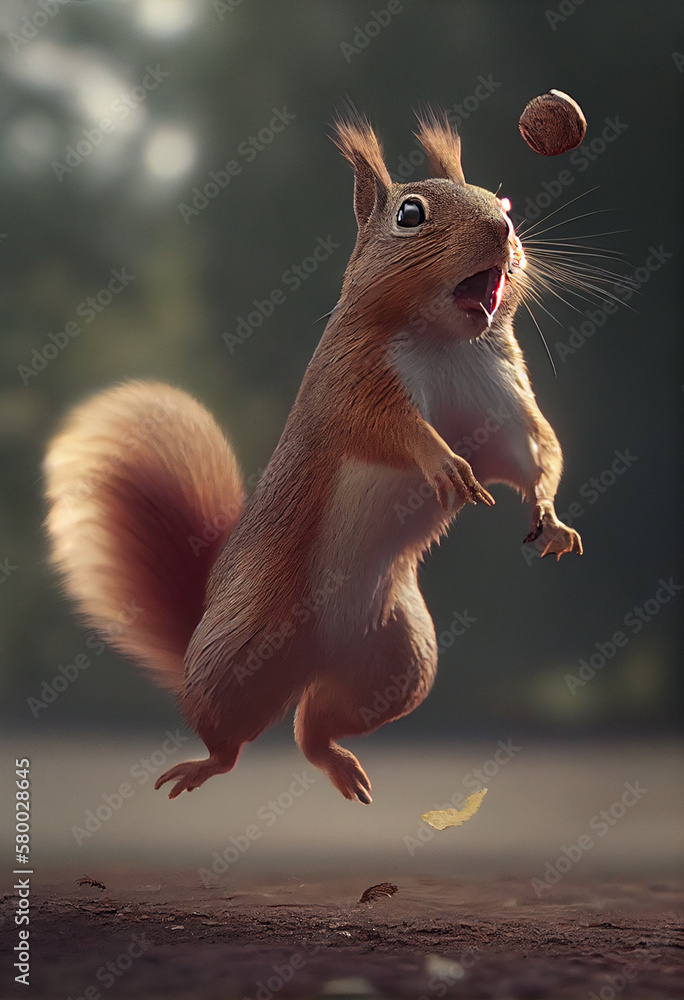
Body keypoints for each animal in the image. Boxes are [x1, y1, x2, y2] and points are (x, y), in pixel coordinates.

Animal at [44, 111, 582, 805]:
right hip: (241, 652)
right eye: (410, 214)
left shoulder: (502, 397)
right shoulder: (353, 385)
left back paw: (338, 763)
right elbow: (390, 432)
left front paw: (552, 518)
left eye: (503, 202)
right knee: (229, 734)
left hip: (399, 662)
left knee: (314, 724)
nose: (504, 231)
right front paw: (443, 463)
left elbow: (535, 452)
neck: (448, 342)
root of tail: (315, 659)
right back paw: (203, 765)